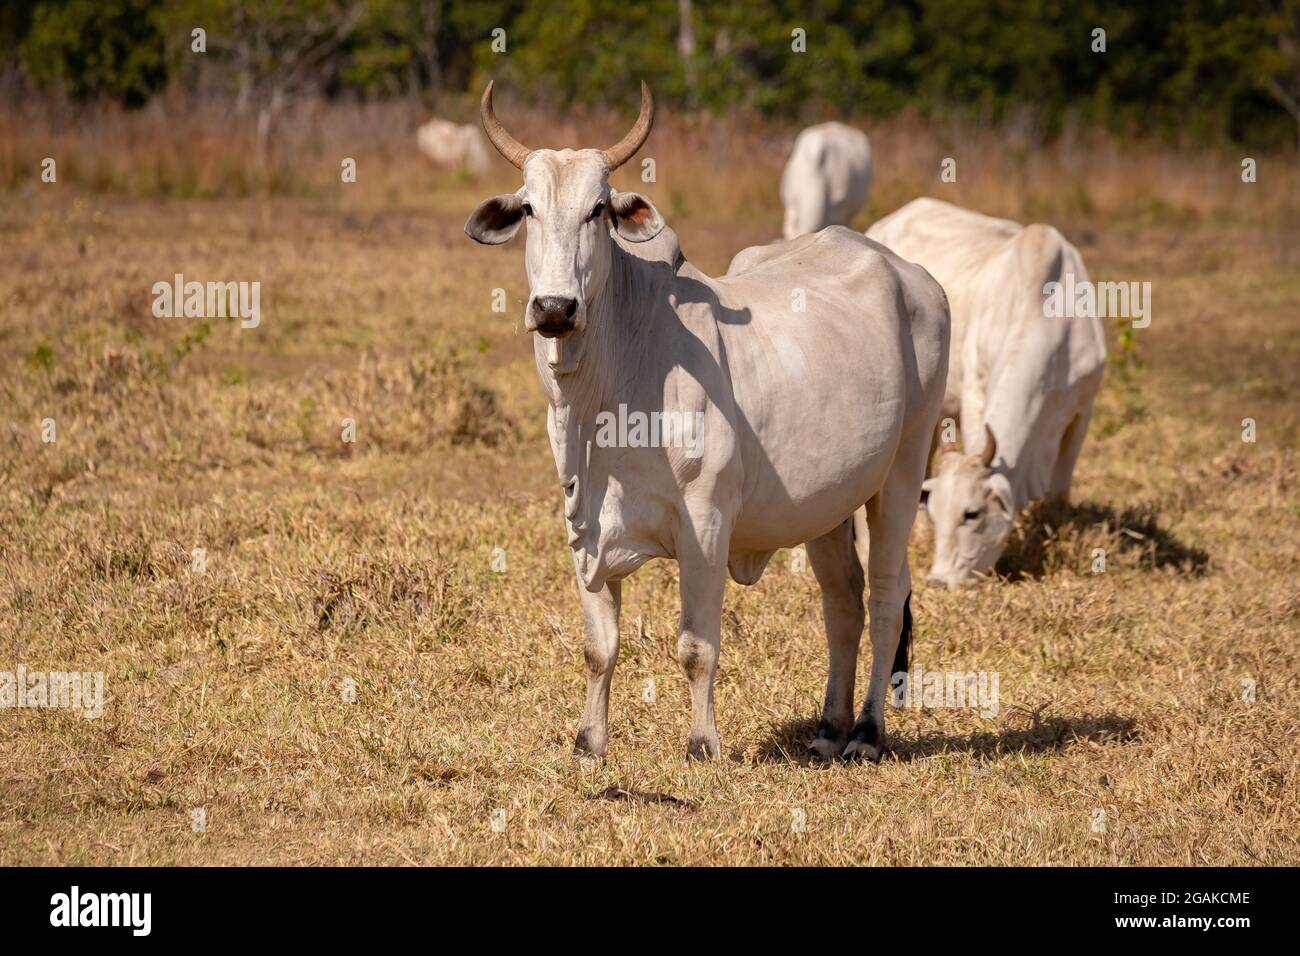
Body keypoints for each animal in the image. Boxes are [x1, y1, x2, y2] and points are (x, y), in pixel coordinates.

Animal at [462, 83, 950, 763]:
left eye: (597, 210)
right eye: (530, 208)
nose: (556, 308)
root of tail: (913, 276)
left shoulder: (706, 523)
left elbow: (696, 648)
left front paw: (702, 744)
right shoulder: (583, 527)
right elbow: (599, 649)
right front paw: (589, 741)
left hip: (904, 469)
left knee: (884, 593)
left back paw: (866, 733)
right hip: (828, 502)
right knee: (842, 601)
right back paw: (829, 729)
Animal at [866, 198, 1106, 588]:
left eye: (972, 513)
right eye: (936, 511)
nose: (939, 580)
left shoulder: (1083, 409)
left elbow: (1057, 499)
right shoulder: (975, 387)